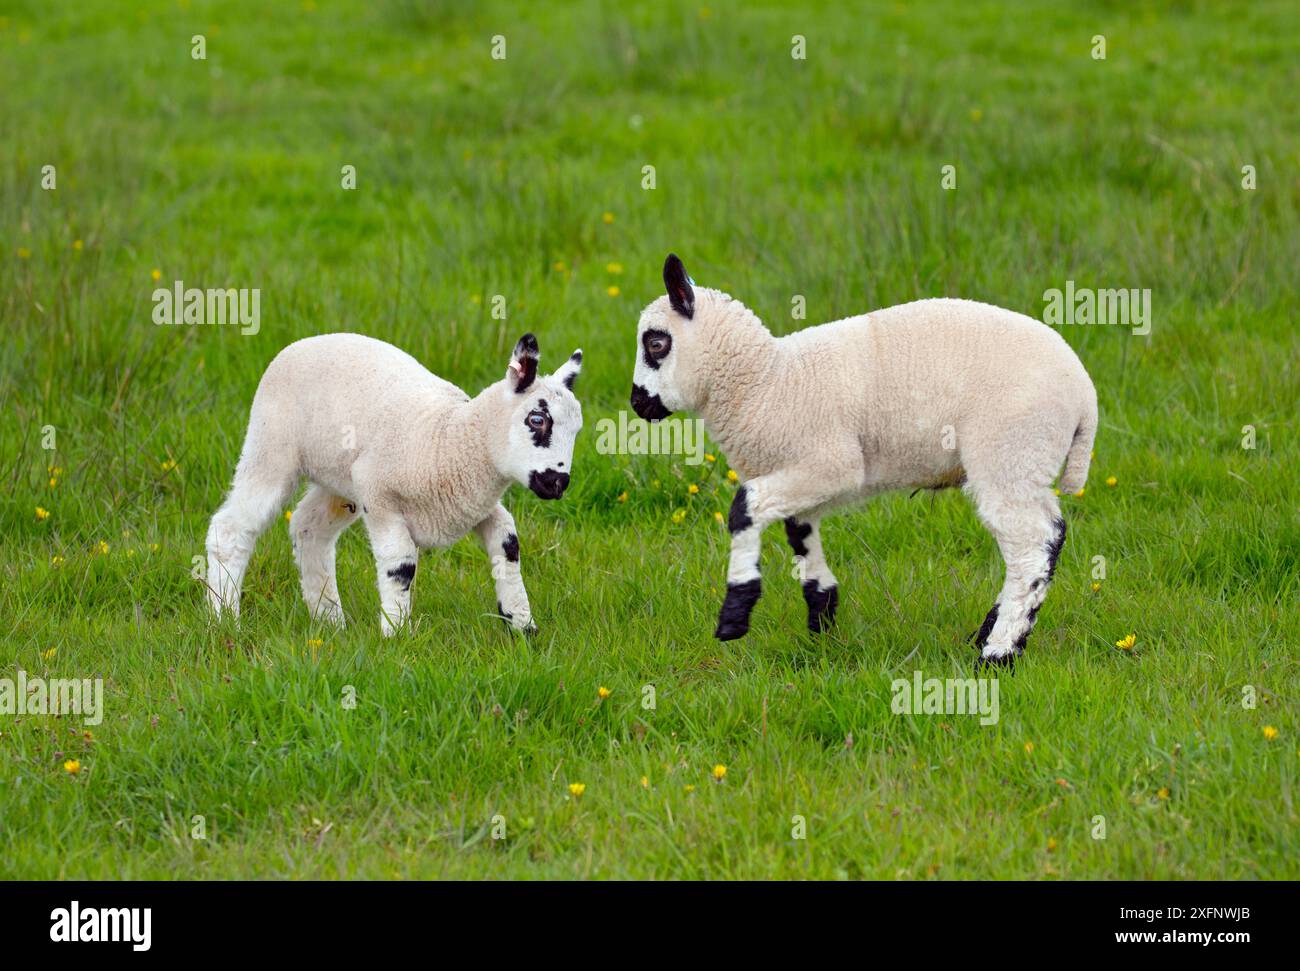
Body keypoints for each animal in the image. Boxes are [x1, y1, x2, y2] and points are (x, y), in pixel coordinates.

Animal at [205, 332, 583, 636]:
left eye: (577, 430)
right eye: (537, 419)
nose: (558, 483)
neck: (450, 438)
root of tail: (302, 342)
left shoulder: (474, 504)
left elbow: (508, 544)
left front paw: (522, 625)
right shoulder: (379, 495)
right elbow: (401, 562)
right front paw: (396, 634)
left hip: (340, 479)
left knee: (309, 528)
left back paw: (329, 621)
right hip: (272, 446)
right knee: (231, 528)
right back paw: (224, 619)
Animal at [629, 254, 1097, 667]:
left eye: (656, 343)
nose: (637, 405)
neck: (767, 381)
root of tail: (1085, 396)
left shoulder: (832, 463)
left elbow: (743, 509)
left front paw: (734, 617)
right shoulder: (798, 472)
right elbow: (799, 534)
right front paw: (821, 619)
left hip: (1010, 451)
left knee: (1029, 546)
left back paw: (998, 653)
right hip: (1027, 461)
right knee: (1050, 534)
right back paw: (986, 635)